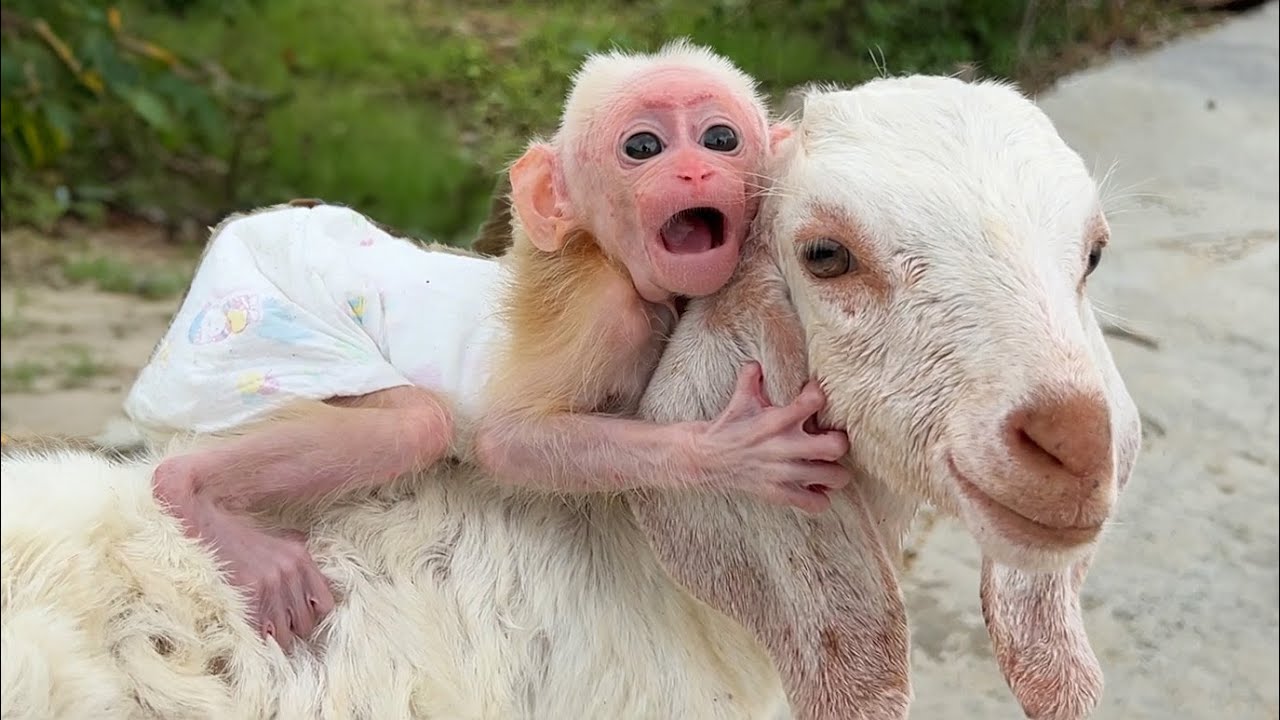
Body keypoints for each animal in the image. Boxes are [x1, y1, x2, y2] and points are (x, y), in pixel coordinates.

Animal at [124, 40, 851, 652]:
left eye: (720, 139)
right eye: (643, 146)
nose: (697, 172)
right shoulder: (603, 311)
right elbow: (510, 439)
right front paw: (727, 455)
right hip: (254, 334)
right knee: (413, 423)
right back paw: (187, 488)